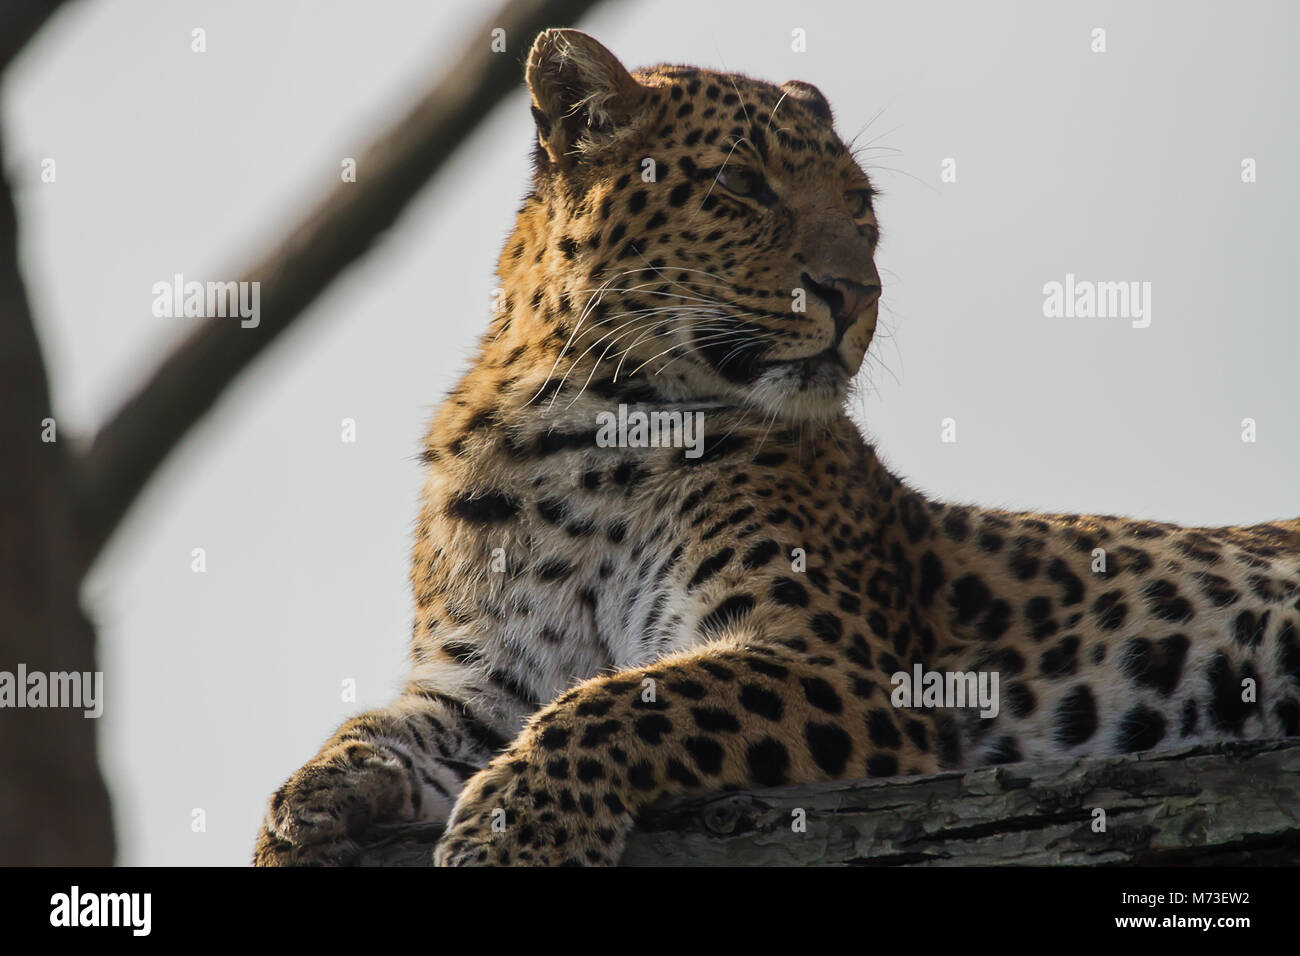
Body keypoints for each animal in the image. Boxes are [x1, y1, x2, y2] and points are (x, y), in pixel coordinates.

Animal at [253, 28, 1300, 867]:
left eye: (861, 205)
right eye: (739, 184)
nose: (856, 292)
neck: (572, 427)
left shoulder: (841, 664)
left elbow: (624, 700)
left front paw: (519, 830)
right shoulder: (481, 688)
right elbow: (371, 730)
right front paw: (298, 816)